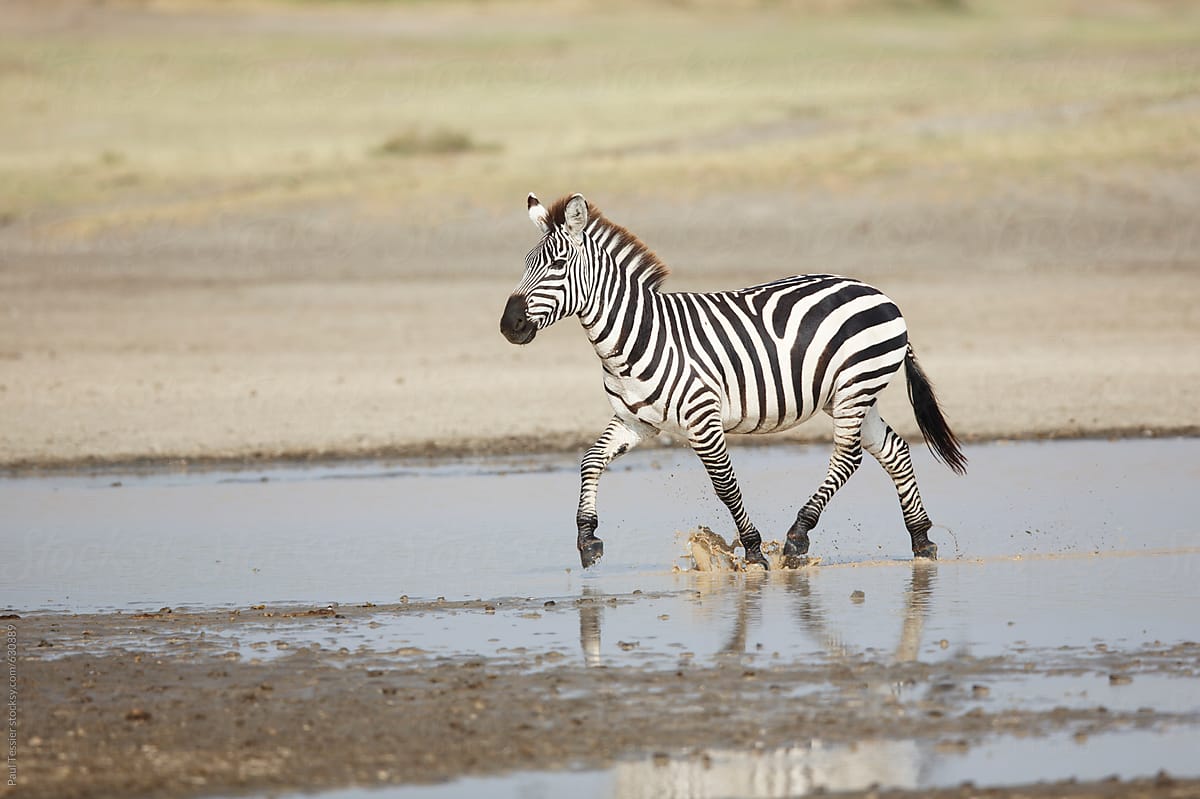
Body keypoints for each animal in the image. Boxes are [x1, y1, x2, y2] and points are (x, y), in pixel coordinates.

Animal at [500, 193, 966, 570]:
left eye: (558, 265)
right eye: (524, 264)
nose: (509, 325)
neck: (635, 337)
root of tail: (877, 292)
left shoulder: (702, 419)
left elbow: (725, 487)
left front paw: (755, 550)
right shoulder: (636, 421)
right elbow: (591, 460)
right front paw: (587, 539)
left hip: (856, 386)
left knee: (849, 457)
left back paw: (798, 537)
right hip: (850, 395)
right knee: (893, 451)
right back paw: (922, 541)